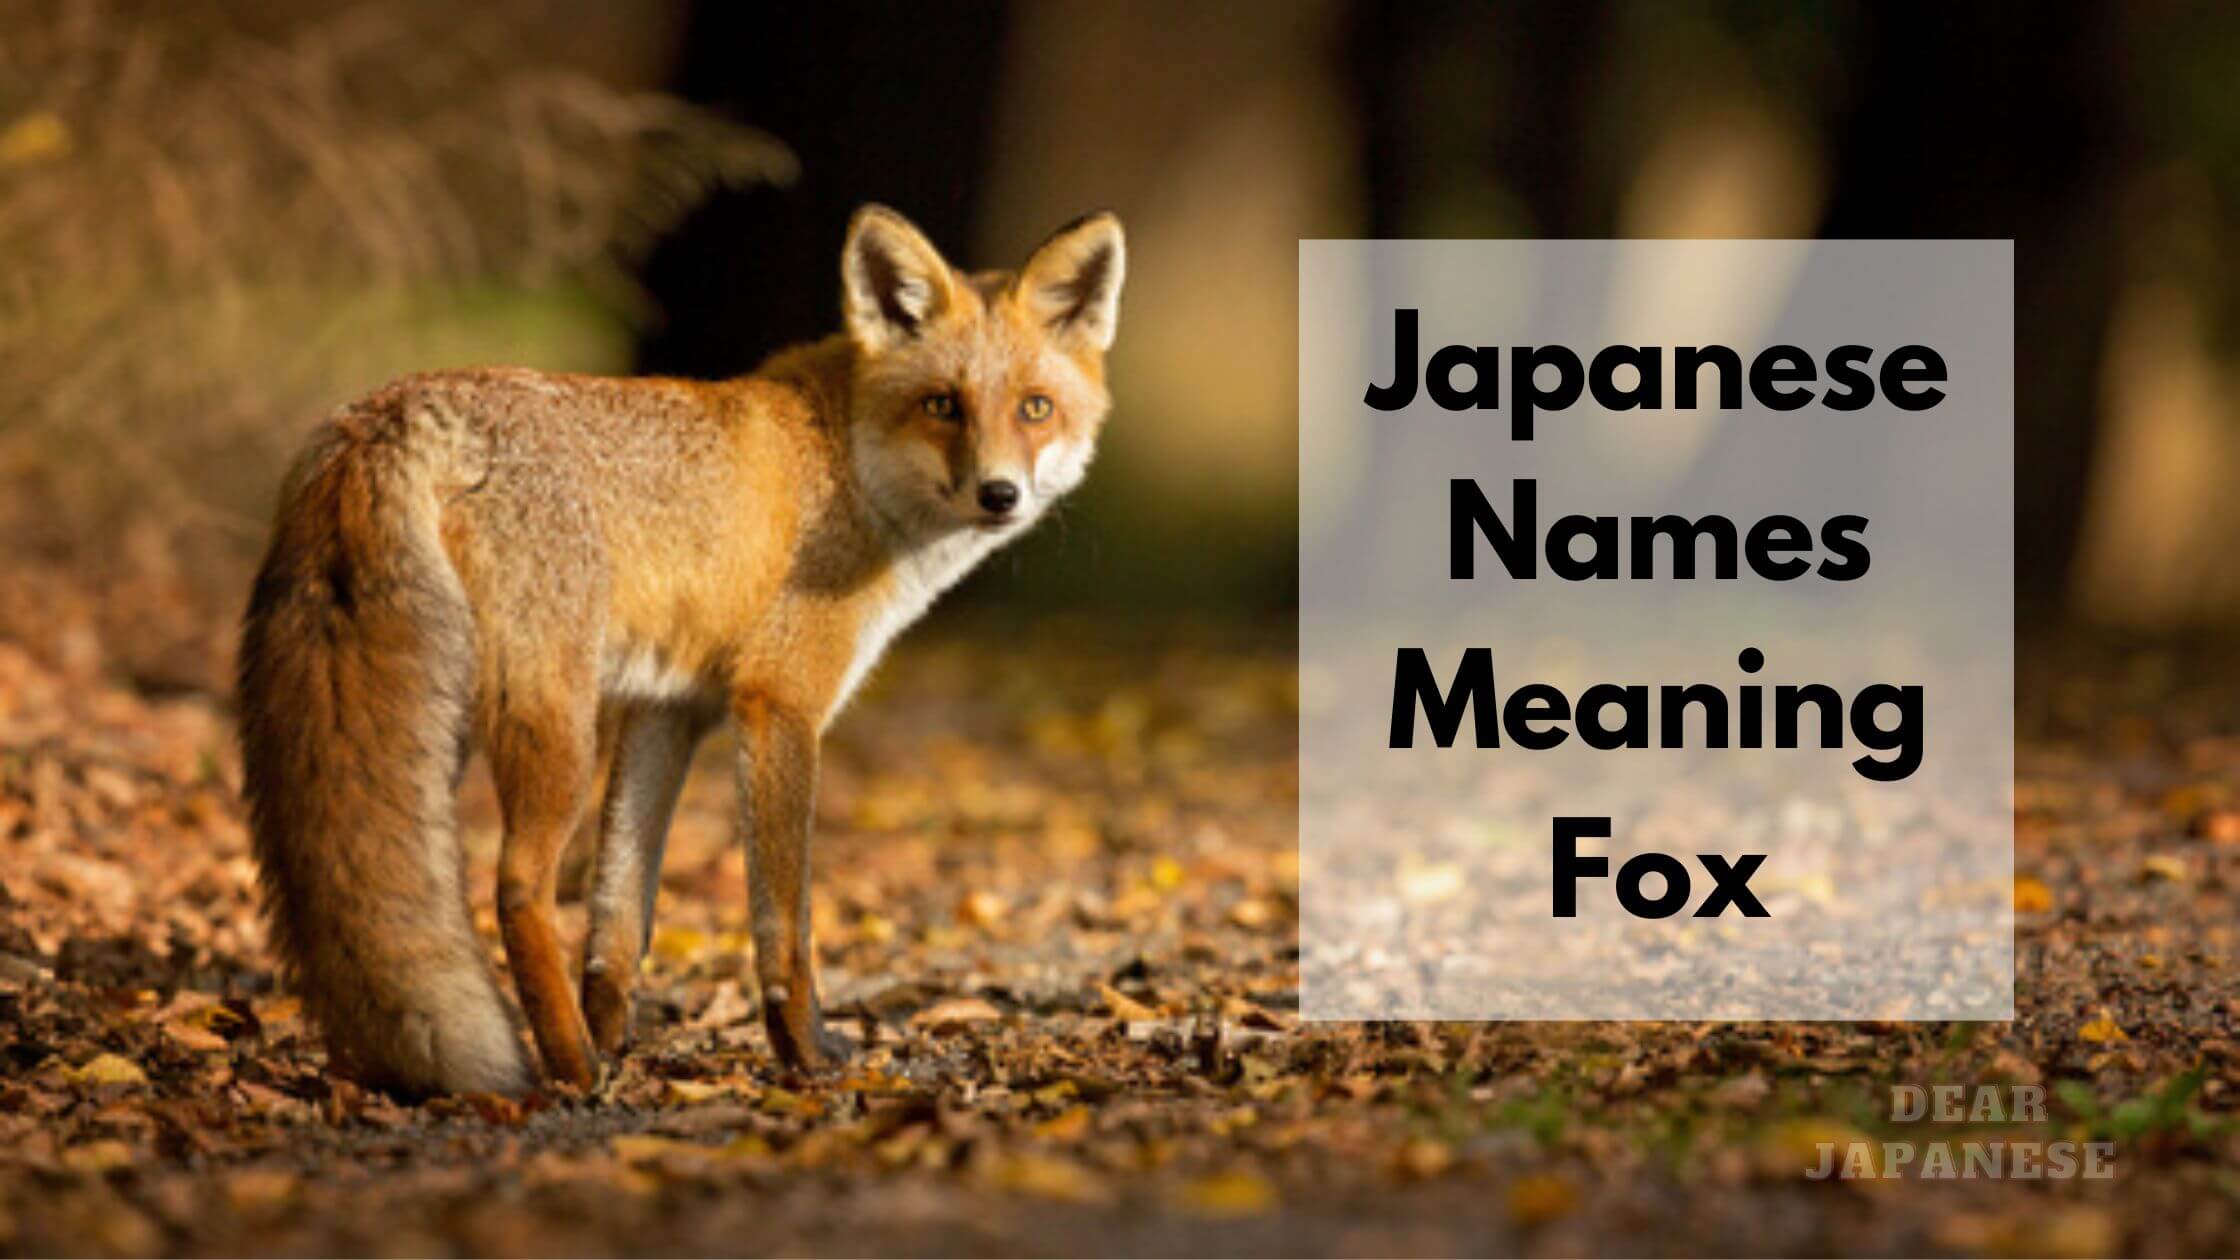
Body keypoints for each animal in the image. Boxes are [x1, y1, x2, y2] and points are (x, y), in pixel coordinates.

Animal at [237, 205, 1125, 1096]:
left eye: (1036, 408)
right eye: (943, 404)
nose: (1000, 494)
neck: (845, 463)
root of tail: (389, 411)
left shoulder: (667, 708)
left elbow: (619, 913)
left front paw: (616, 1031)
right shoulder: (778, 702)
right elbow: (784, 920)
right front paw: (804, 1052)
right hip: (552, 727)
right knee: (517, 887)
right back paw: (570, 1068)